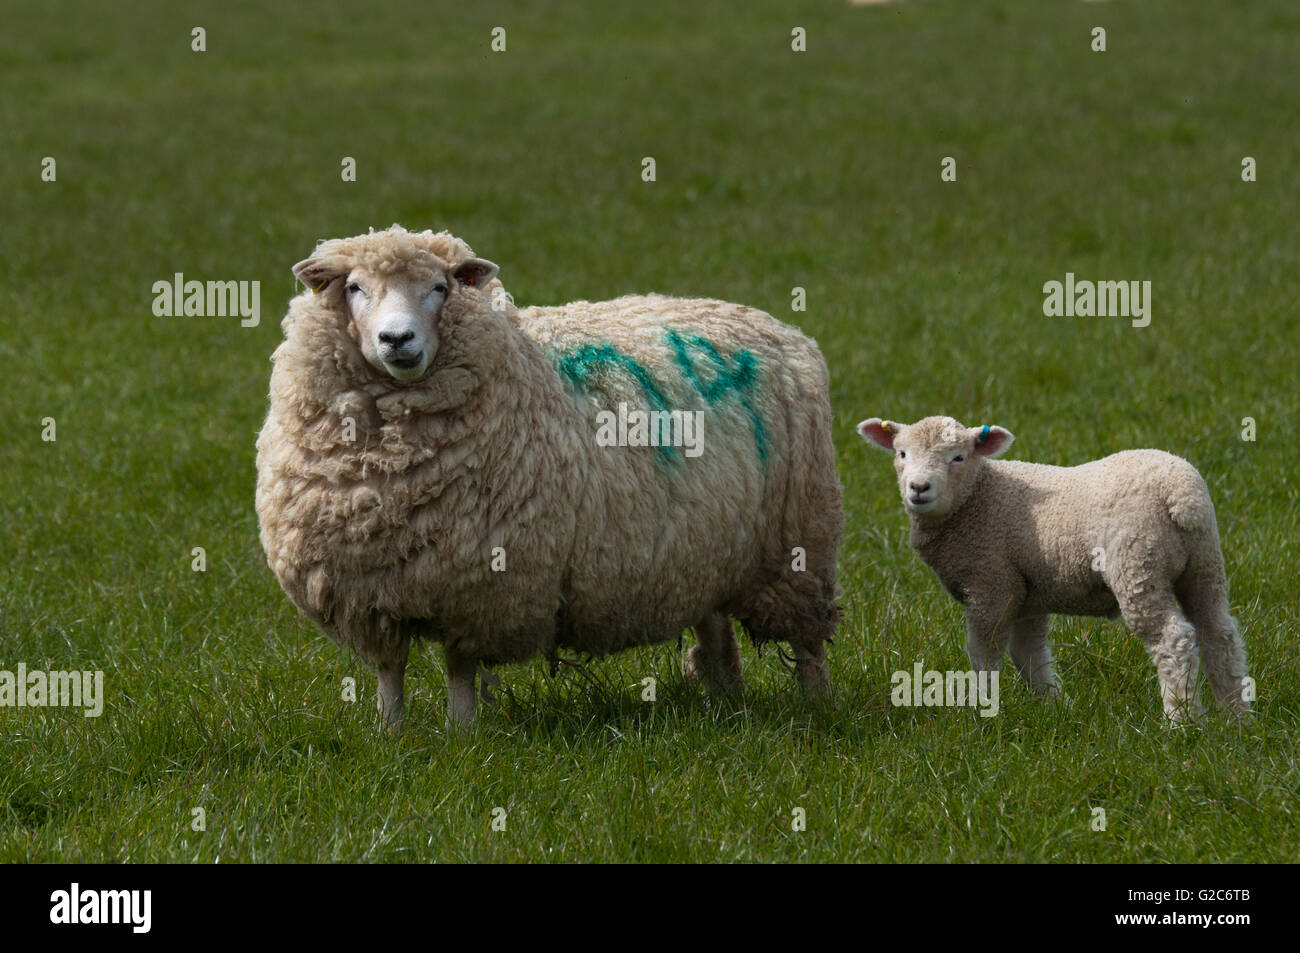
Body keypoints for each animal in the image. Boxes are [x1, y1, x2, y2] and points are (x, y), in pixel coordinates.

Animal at [255, 225, 843, 730]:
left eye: (440, 288)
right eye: (355, 287)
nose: (397, 339)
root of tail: (774, 325)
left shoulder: (479, 590)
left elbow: (459, 670)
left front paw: (462, 735)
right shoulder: (370, 593)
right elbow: (389, 671)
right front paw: (391, 734)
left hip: (797, 541)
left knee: (808, 640)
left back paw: (815, 704)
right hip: (710, 545)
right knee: (715, 625)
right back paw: (726, 697)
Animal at [856, 415, 1249, 722]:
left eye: (958, 457)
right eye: (901, 454)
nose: (918, 487)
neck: (976, 498)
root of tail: (1182, 493)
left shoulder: (991, 583)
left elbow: (984, 654)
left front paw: (982, 709)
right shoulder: (1027, 593)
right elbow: (1029, 654)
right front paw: (1054, 707)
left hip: (1138, 566)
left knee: (1173, 639)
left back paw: (1182, 722)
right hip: (1204, 565)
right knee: (1220, 633)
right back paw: (1235, 719)